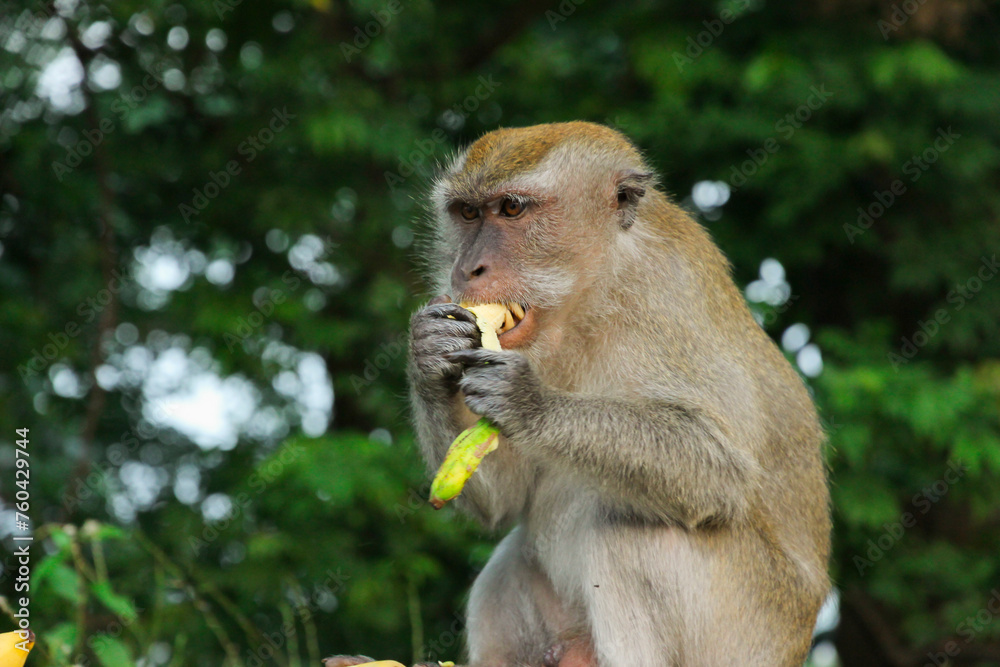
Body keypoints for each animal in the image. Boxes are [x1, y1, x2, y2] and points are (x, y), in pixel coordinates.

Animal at [332, 121, 831, 667]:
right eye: (467, 213)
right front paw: (430, 349)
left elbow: (720, 469)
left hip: (745, 631)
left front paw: (530, 403)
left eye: (511, 209)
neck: (592, 297)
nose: (467, 268)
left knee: (632, 532)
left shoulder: (670, 296)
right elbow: (503, 501)